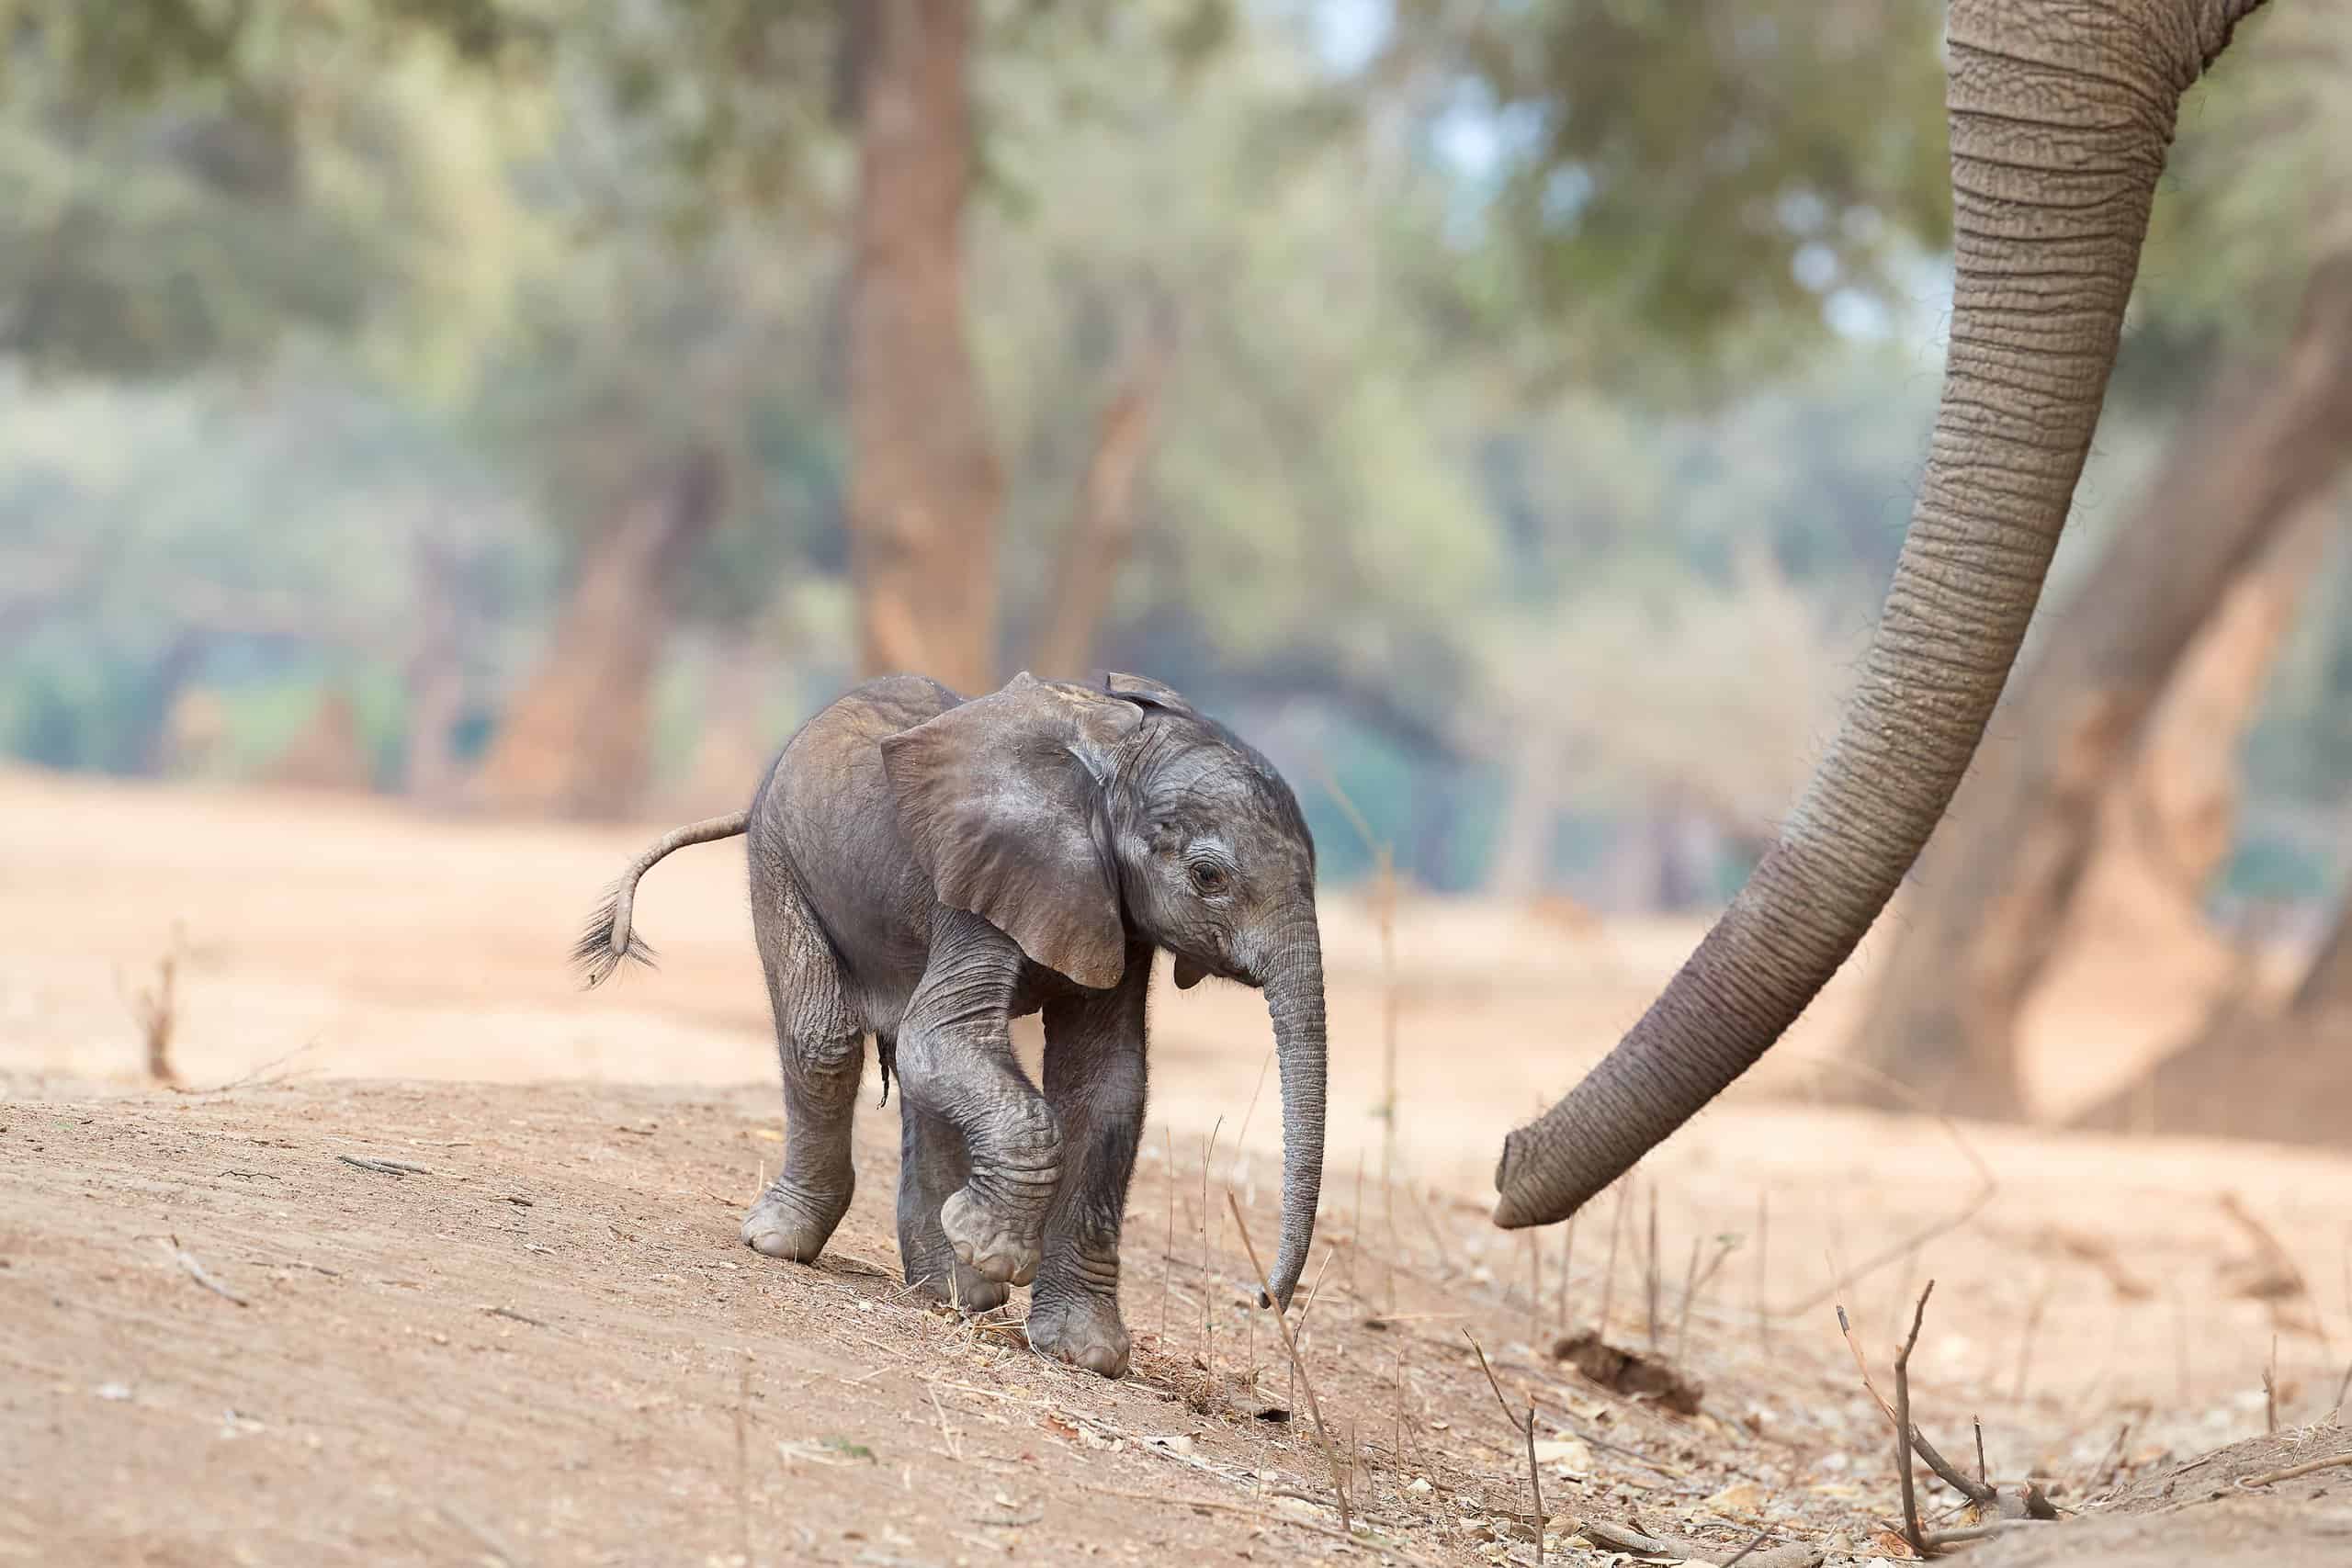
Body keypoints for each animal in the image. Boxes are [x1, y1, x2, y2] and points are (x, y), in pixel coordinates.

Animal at [575, 670, 1326, 1378]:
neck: (1113, 755)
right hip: (781, 856)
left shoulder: (1115, 910)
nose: (1263, 1299)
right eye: (1208, 877)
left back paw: (950, 1293)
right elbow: (942, 1040)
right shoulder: (988, 871)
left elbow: (1106, 1086)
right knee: (826, 1039)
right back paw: (784, 1244)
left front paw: (1082, 1353)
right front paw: (992, 1248)